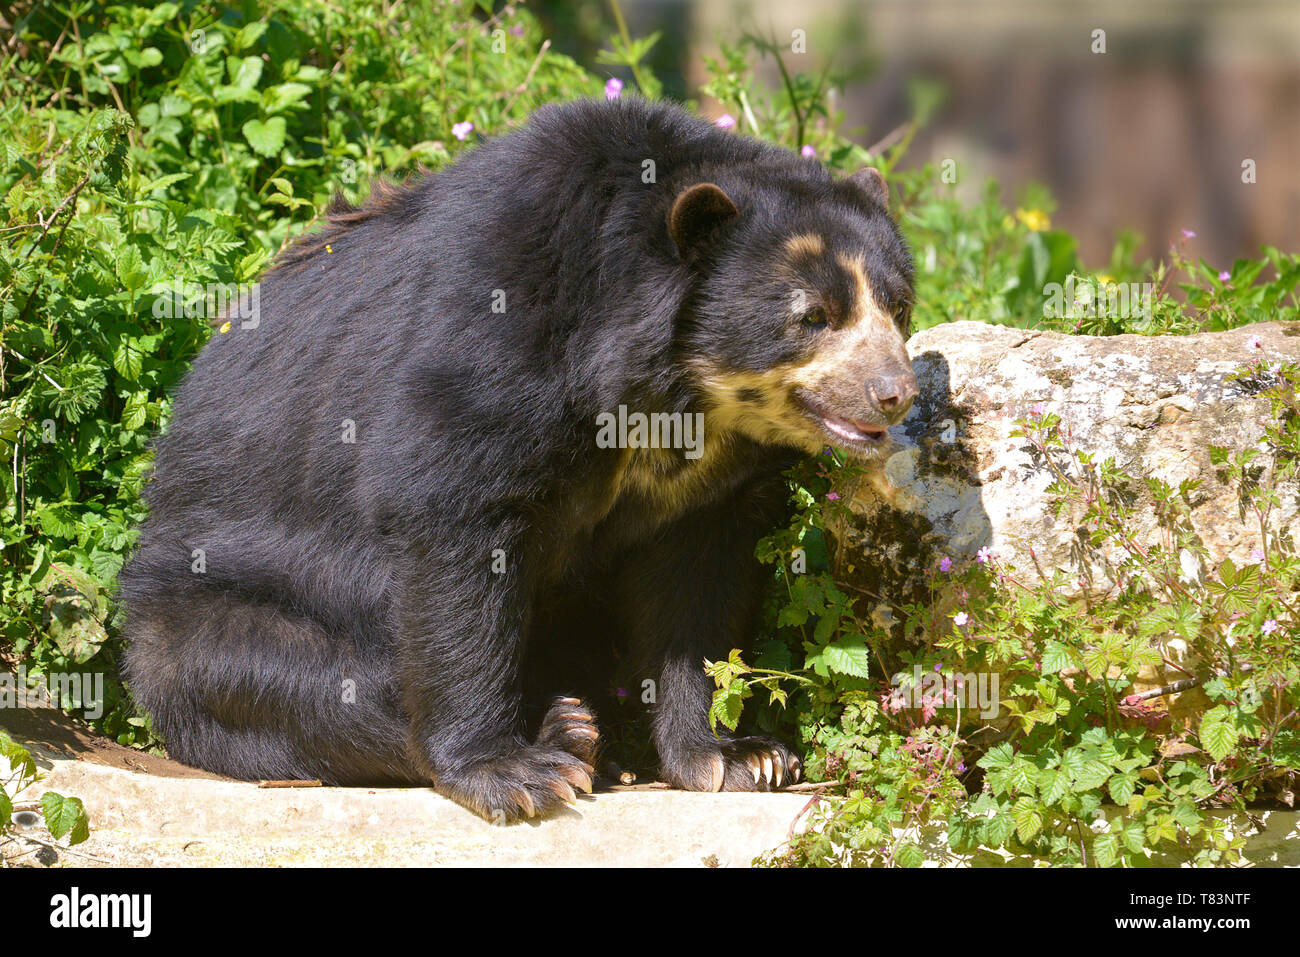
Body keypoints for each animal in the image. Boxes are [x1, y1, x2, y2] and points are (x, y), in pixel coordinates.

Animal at [118, 96, 917, 822]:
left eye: (898, 306)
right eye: (812, 316)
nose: (894, 393)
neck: (675, 396)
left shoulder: (711, 487)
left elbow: (697, 588)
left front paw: (737, 757)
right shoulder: (495, 339)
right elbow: (454, 519)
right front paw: (509, 772)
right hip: (205, 611)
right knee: (296, 683)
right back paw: (564, 732)